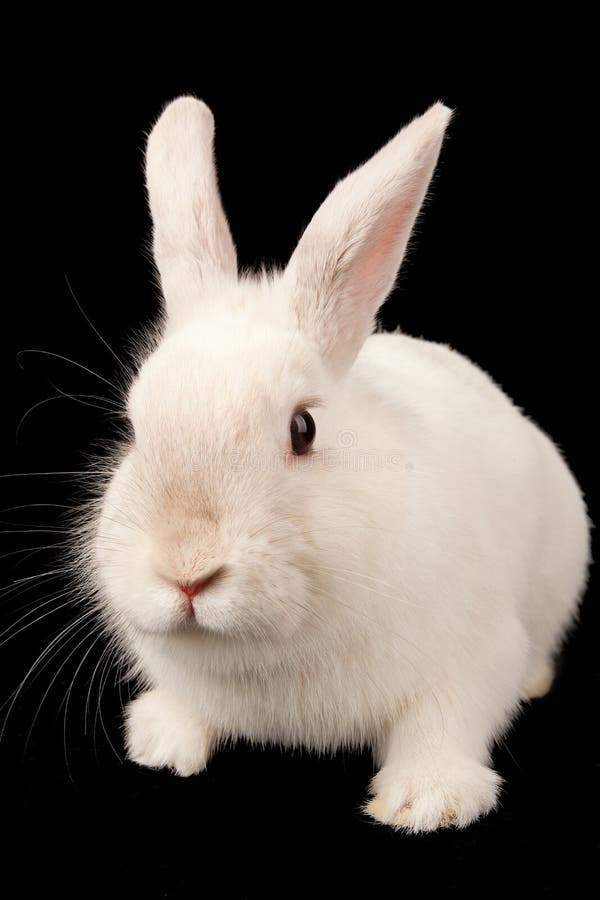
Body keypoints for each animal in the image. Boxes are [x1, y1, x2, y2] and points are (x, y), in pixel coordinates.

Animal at [86, 96, 590, 833]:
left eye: (303, 429)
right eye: (132, 426)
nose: (186, 571)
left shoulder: (472, 656)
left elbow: (443, 723)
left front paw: (425, 801)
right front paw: (164, 743)